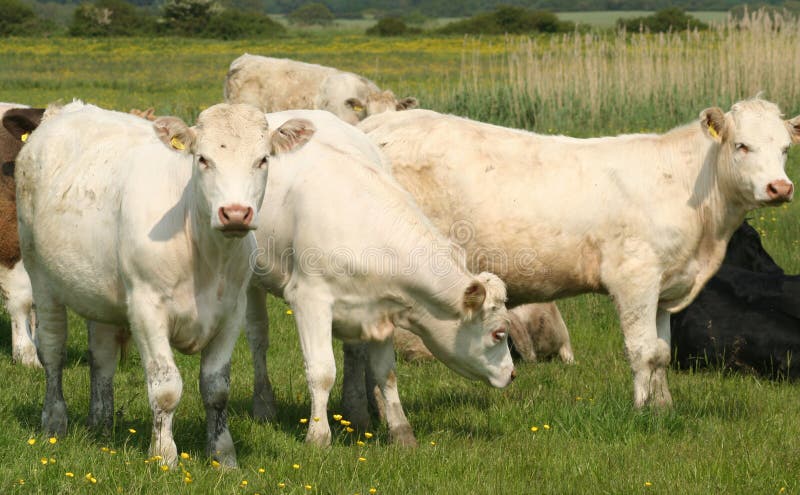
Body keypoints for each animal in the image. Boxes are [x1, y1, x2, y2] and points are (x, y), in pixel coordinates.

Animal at [15, 101, 314, 467]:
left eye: (262, 160)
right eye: (203, 159)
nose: (234, 213)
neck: (206, 254)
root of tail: (69, 109)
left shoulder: (232, 312)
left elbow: (217, 388)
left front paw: (223, 455)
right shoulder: (147, 308)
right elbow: (166, 387)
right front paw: (163, 456)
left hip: (99, 293)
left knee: (101, 356)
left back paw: (100, 425)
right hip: (40, 276)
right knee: (53, 350)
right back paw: (54, 422)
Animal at [245, 109, 515, 447]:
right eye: (499, 333)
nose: (512, 374)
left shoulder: (382, 307)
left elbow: (386, 372)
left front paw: (401, 433)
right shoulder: (309, 299)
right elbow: (321, 371)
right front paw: (318, 436)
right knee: (258, 338)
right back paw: (263, 406)